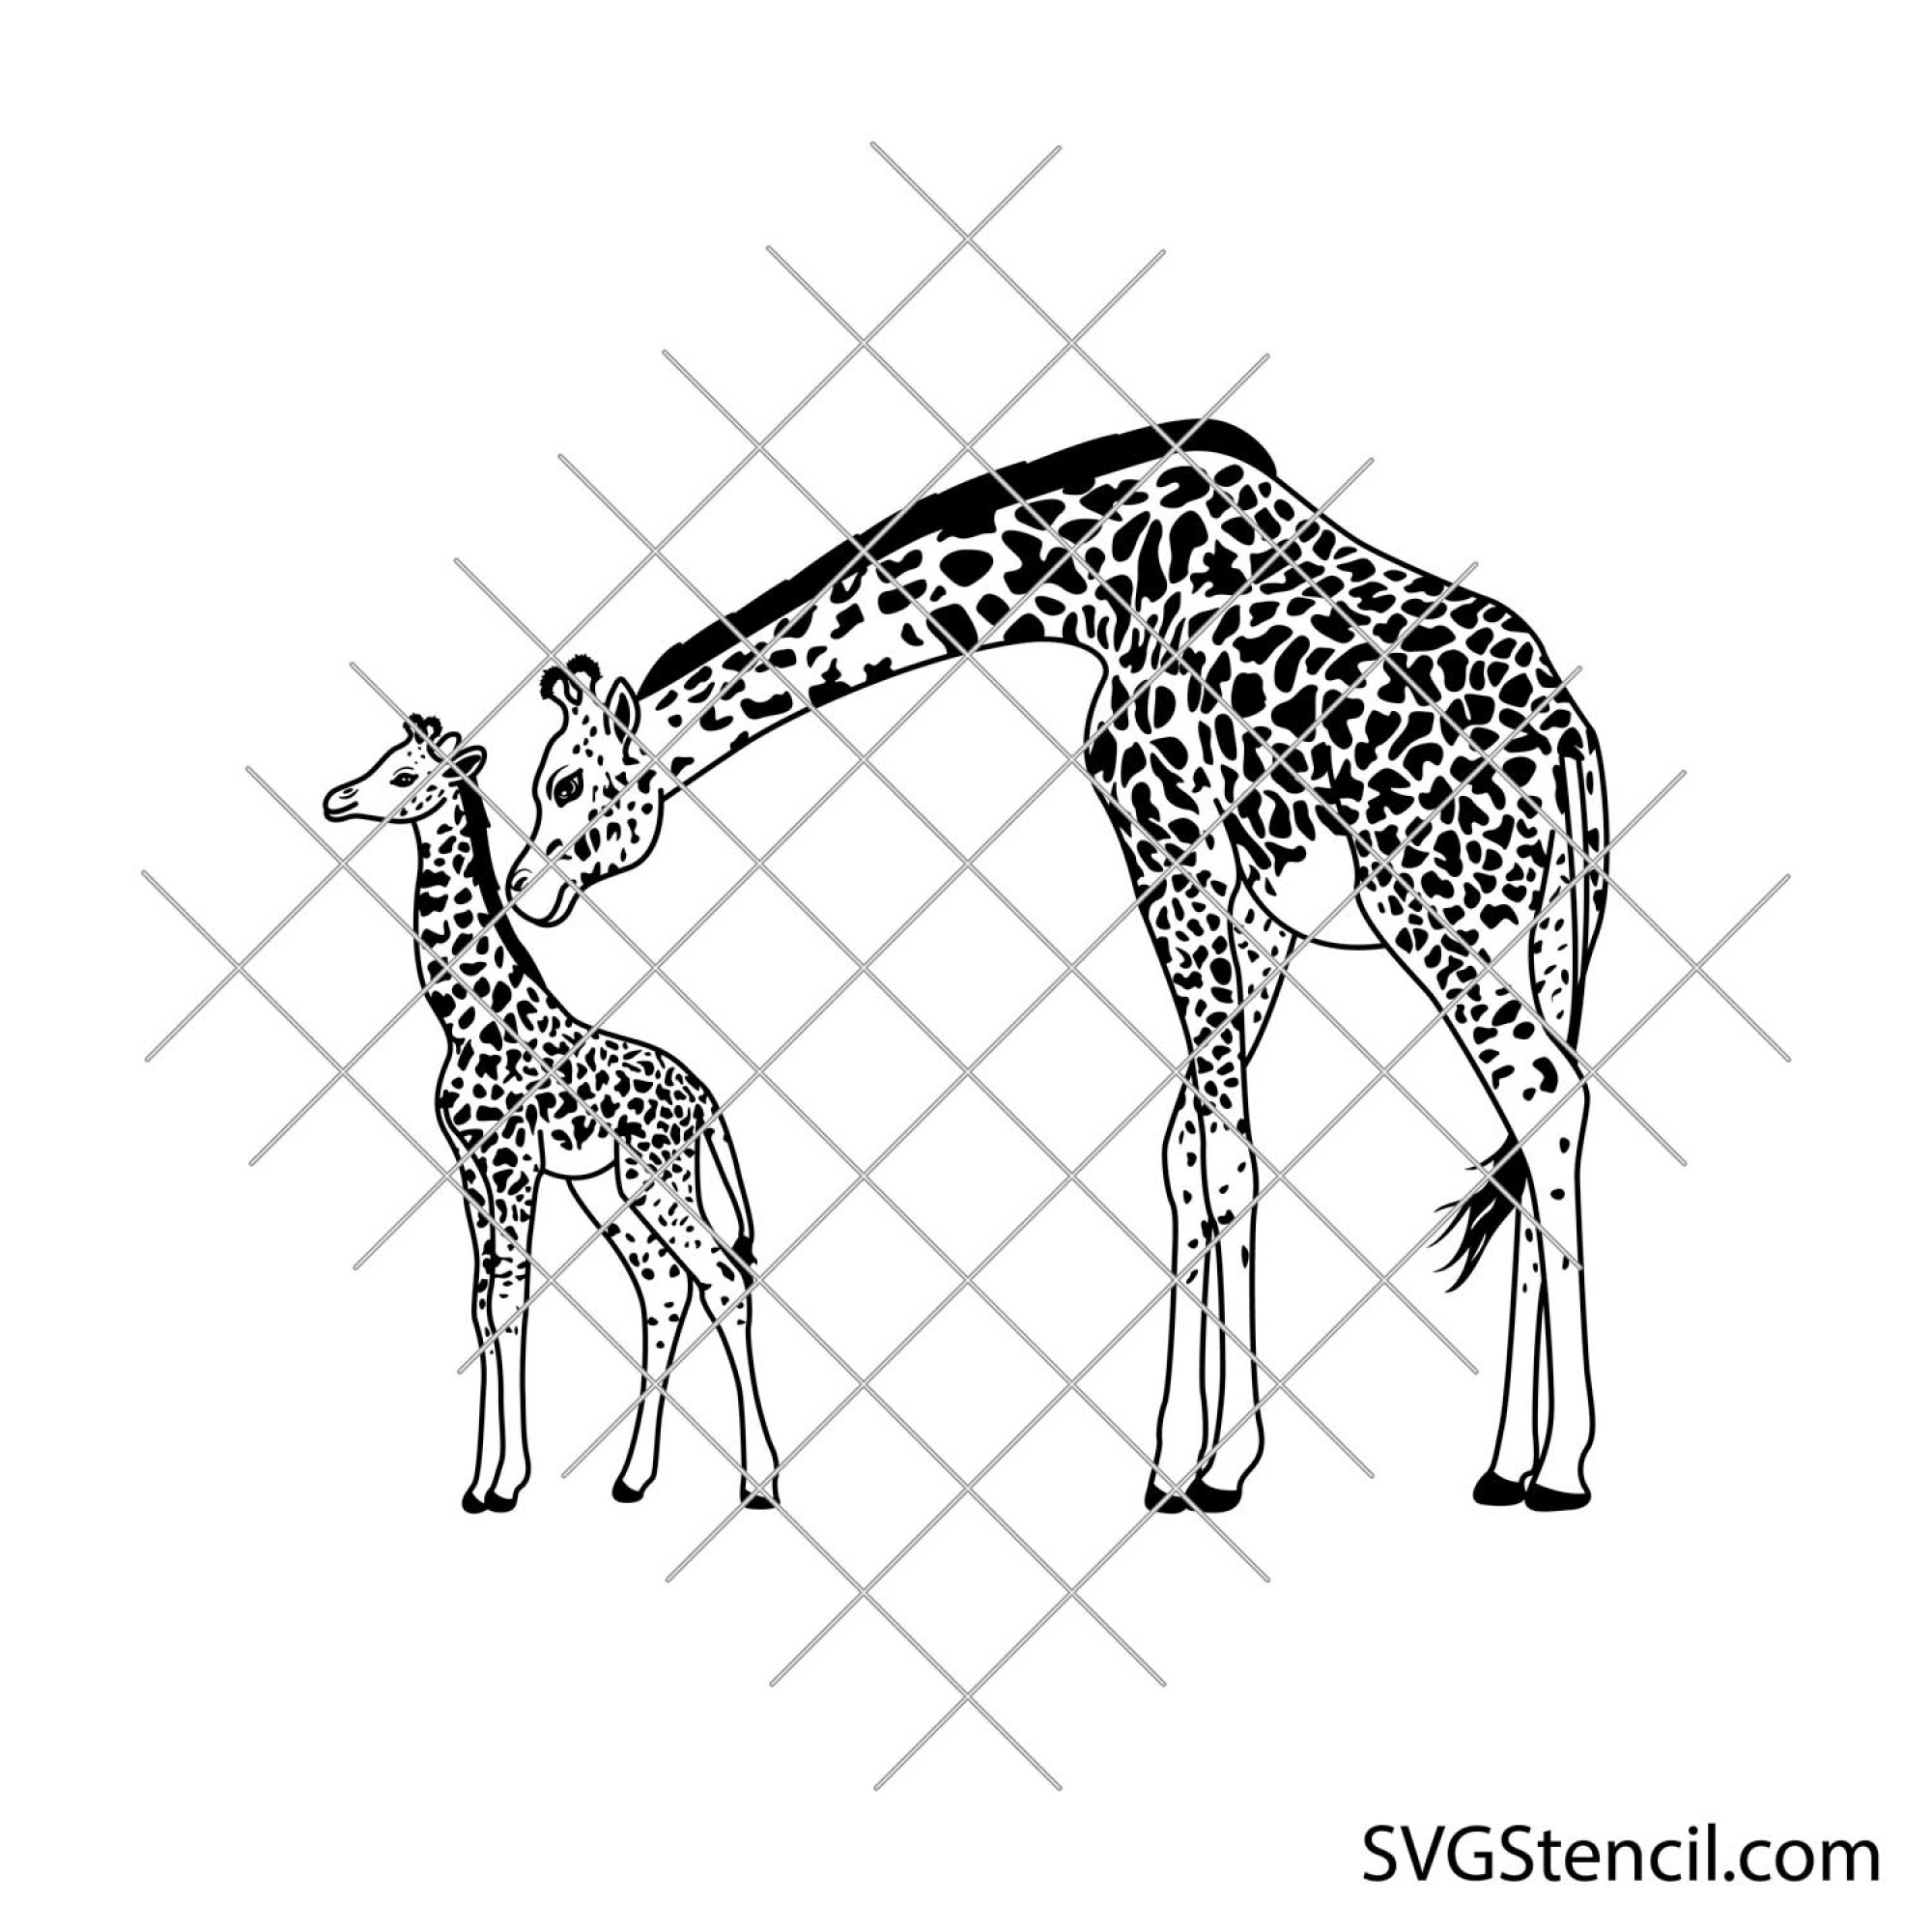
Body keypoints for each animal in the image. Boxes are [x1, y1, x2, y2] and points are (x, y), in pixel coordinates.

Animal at [324, 715, 780, 1513]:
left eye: (406, 775)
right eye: (381, 760)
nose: (337, 799)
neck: (465, 1018)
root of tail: (706, 1099)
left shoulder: (512, 1162)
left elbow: (512, 1296)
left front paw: (507, 1483)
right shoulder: (471, 1165)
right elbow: (482, 1301)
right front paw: (480, 1481)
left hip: (663, 1176)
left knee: (723, 1277)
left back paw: (757, 1484)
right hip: (615, 1188)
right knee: (665, 1287)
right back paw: (632, 1478)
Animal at [506, 419, 1611, 1512]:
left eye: (560, 784)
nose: (526, 892)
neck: (1093, 584)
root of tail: (1566, 738)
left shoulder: (1171, 853)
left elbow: (1226, 1159)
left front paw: (1226, 1464)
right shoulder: (1257, 908)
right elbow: (1185, 1153)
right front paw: (1173, 1459)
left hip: (1429, 915)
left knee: (1544, 1089)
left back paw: (1561, 1467)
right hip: (1542, 935)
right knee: (1533, 1120)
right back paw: (1506, 1460)